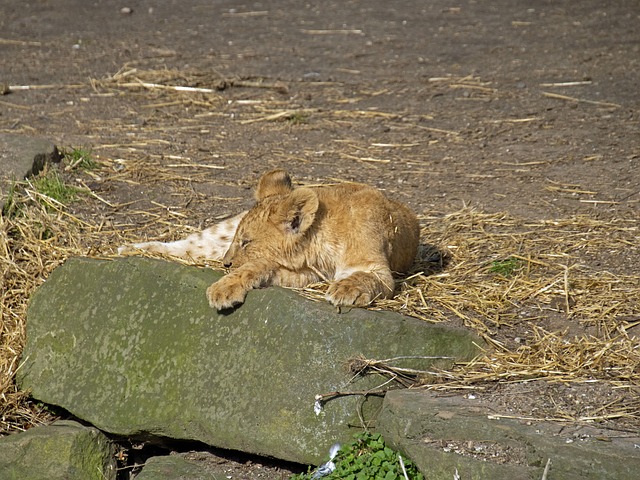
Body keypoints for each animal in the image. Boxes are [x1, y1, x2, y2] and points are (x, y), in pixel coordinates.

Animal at [119, 170, 420, 310]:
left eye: (247, 243)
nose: (226, 264)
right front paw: (224, 287)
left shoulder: (367, 271)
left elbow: (364, 277)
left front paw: (347, 289)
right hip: (218, 234)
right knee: (189, 245)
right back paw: (130, 248)